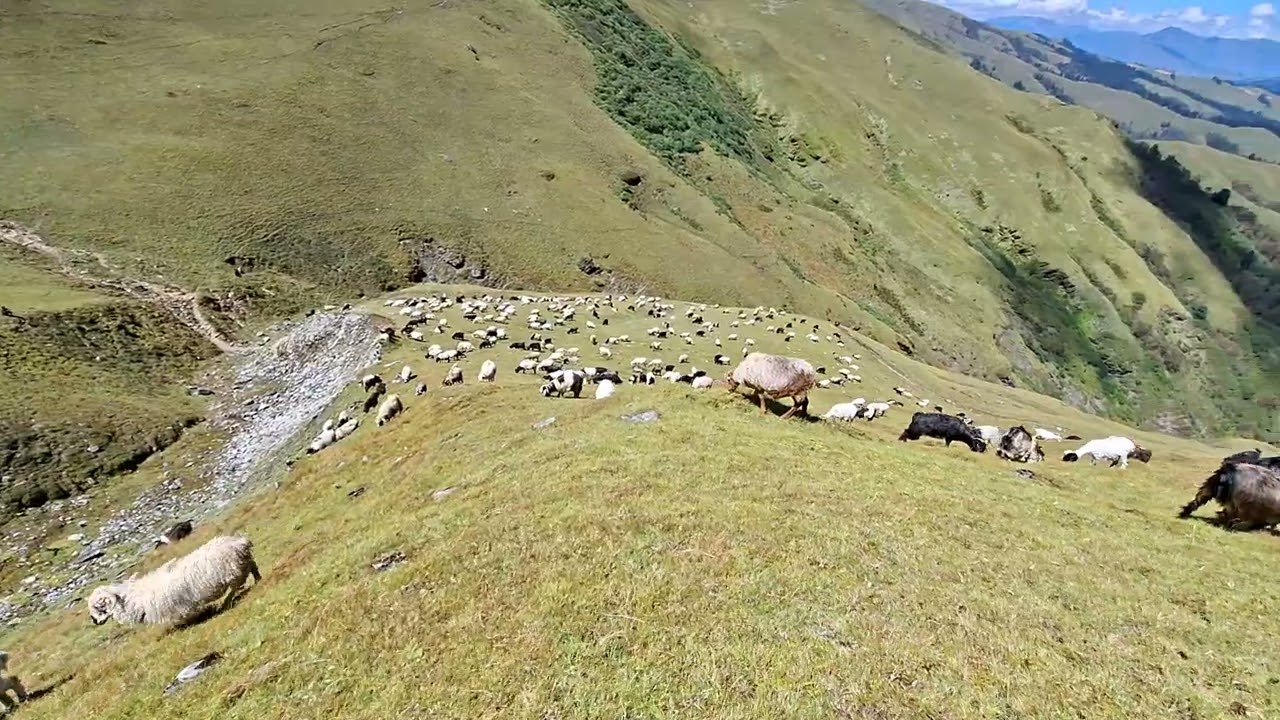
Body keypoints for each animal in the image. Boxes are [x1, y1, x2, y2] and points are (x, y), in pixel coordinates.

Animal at [86, 535, 261, 627]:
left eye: (98, 606)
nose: (94, 621)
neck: (134, 598)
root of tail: (238, 542)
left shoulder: (177, 607)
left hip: (233, 571)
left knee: (237, 584)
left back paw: (227, 602)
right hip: (242, 563)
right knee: (252, 567)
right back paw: (258, 580)